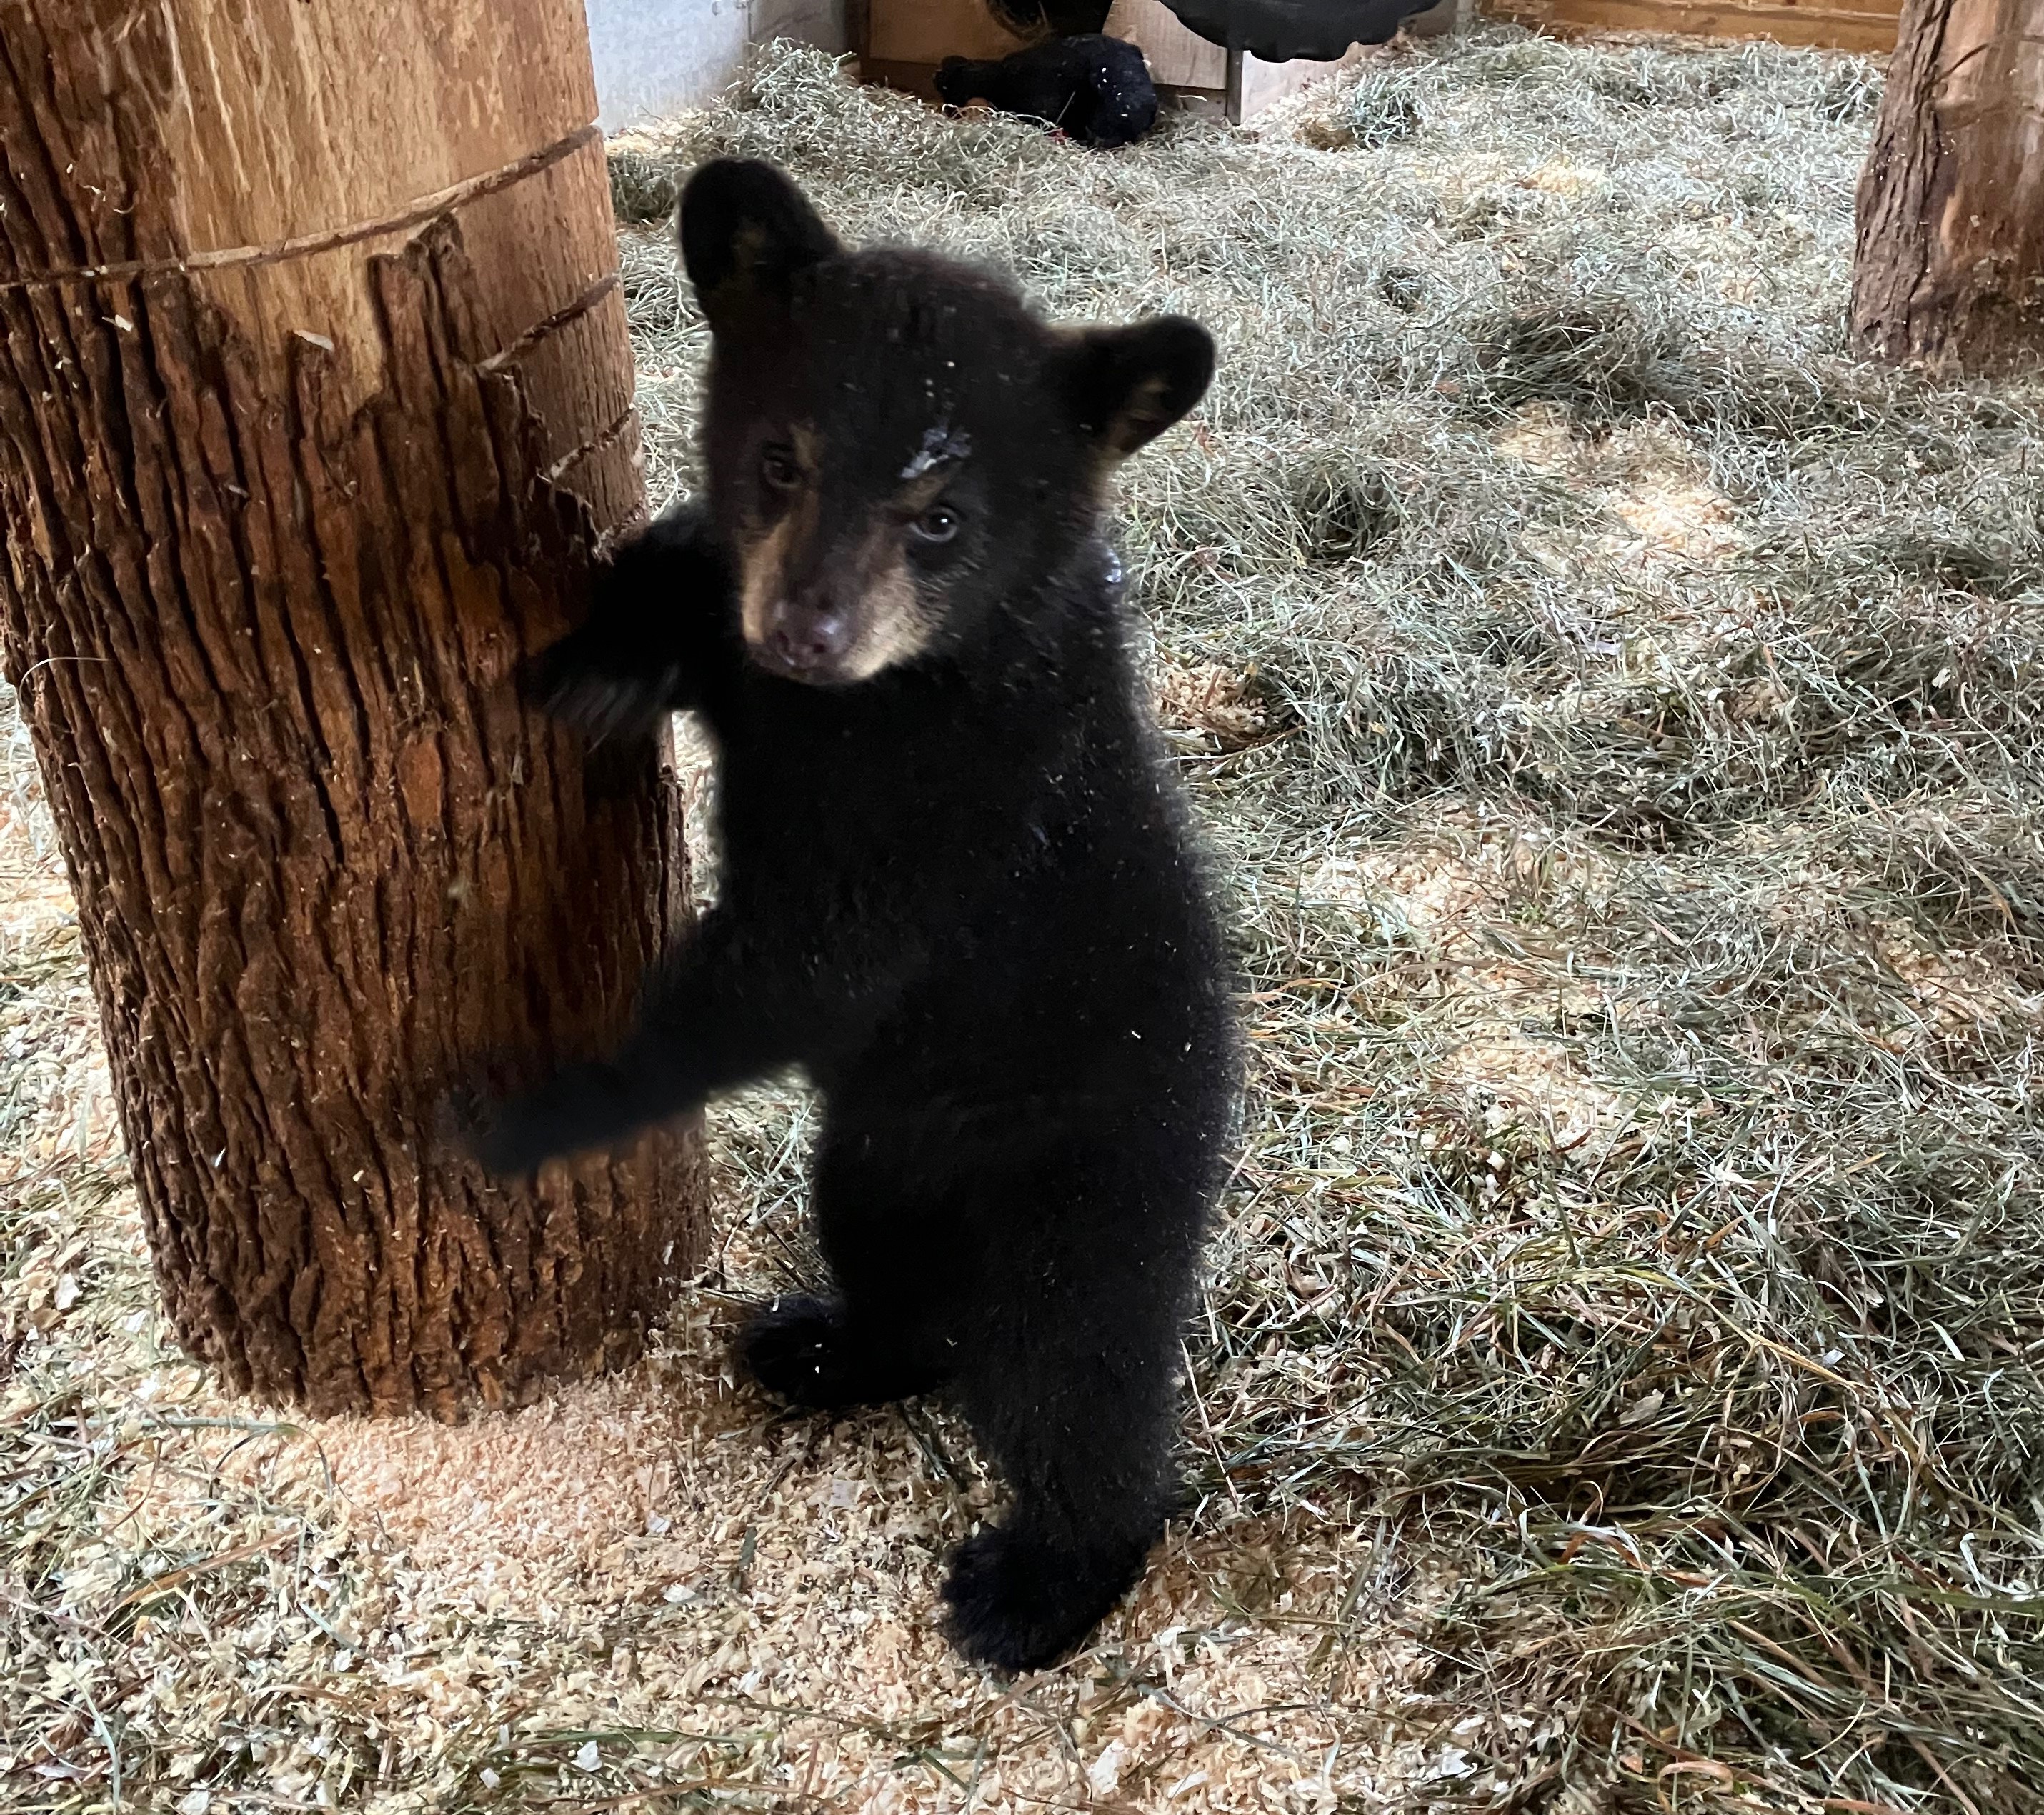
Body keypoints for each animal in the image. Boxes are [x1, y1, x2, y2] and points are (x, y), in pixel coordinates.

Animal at [457, 158, 1240, 1673]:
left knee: (1074, 1384)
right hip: (879, 1159)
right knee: (906, 1289)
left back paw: (1043, 1584)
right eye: (782, 462)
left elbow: (804, 965)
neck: (881, 695)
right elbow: (683, 570)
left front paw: (515, 1112)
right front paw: (609, 657)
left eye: (939, 515)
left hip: (1091, 1182)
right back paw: (827, 1349)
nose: (805, 632)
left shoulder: (955, 804)